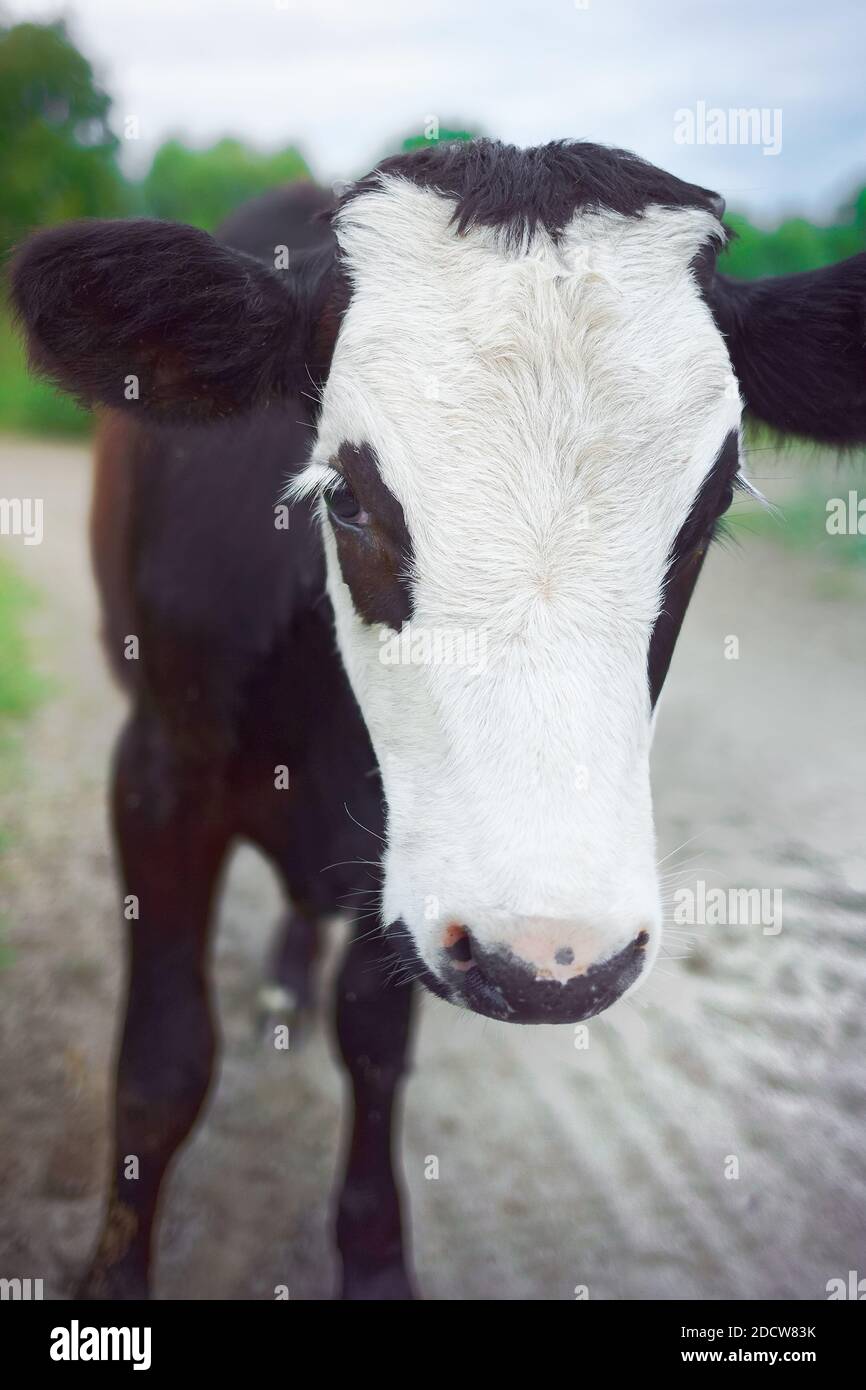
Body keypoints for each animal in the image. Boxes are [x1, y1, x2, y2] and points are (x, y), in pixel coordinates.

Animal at [10, 139, 866, 1300]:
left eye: (714, 505)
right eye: (346, 496)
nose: (555, 957)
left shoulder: (408, 858)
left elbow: (374, 1047)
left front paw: (374, 1260)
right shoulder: (157, 772)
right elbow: (161, 1064)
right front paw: (112, 1283)